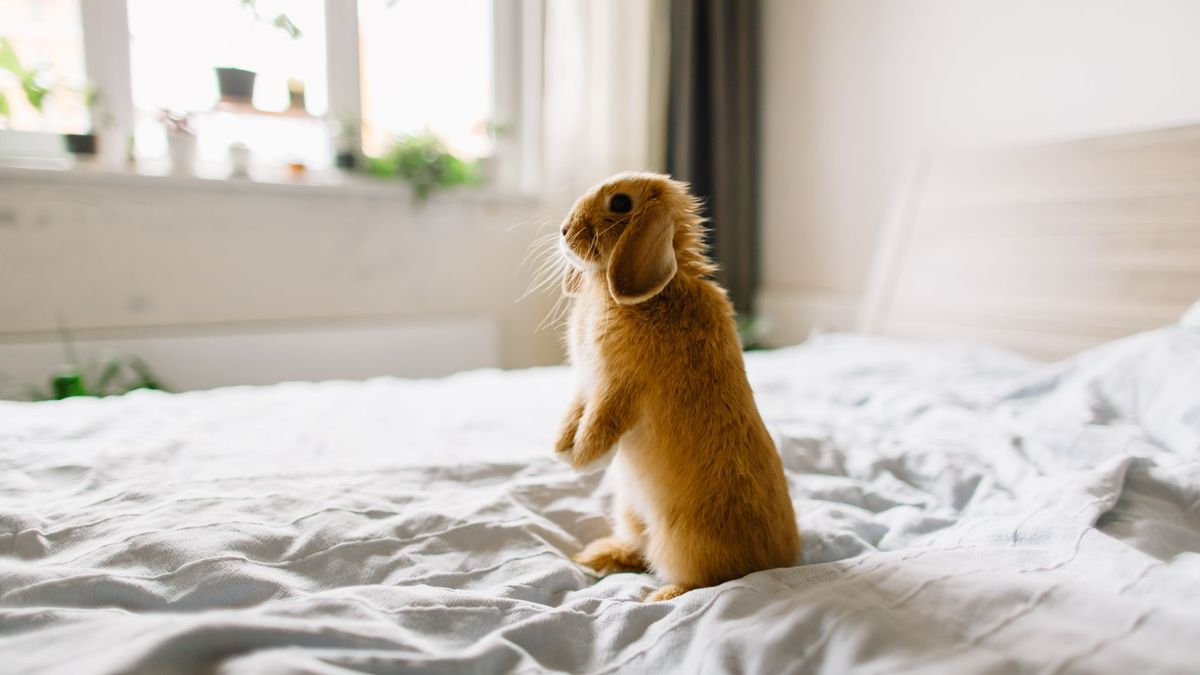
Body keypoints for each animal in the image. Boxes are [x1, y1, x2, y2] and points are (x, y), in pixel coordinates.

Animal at [553, 172, 800, 602]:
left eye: (620, 203)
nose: (564, 230)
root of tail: (780, 559)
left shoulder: (619, 386)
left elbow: (601, 421)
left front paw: (582, 459)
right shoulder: (587, 381)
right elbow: (575, 411)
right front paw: (561, 448)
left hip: (684, 538)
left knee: (708, 578)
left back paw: (663, 595)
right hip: (630, 512)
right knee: (640, 548)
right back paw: (599, 555)